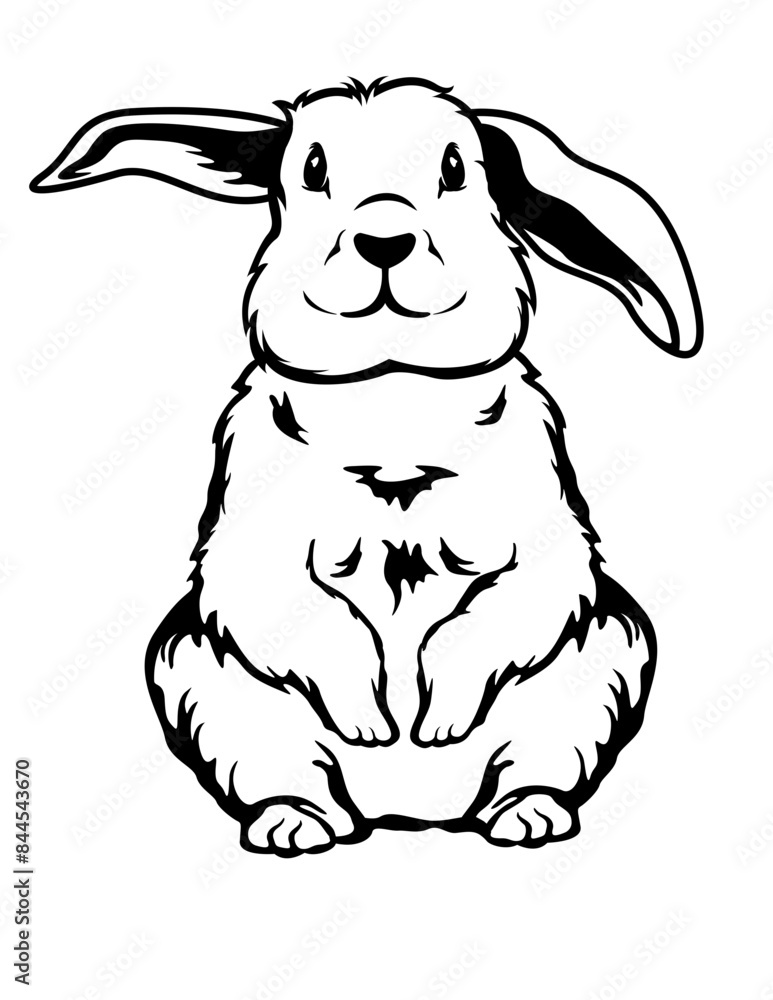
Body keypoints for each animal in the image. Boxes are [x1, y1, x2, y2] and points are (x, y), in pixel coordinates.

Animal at [31, 76, 702, 856]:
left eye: (454, 168)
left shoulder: (541, 534)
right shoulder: (254, 540)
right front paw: (371, 725)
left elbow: (503, 606)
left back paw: (526, 818)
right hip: (196, 673)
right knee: (291, 777)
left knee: (532, 765)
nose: (385, 240)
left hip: (606, 657)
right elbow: (304, 617)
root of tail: (410, 814)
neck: (392, 399)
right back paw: (295, 826)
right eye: (312, 168)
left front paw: (437, 722)